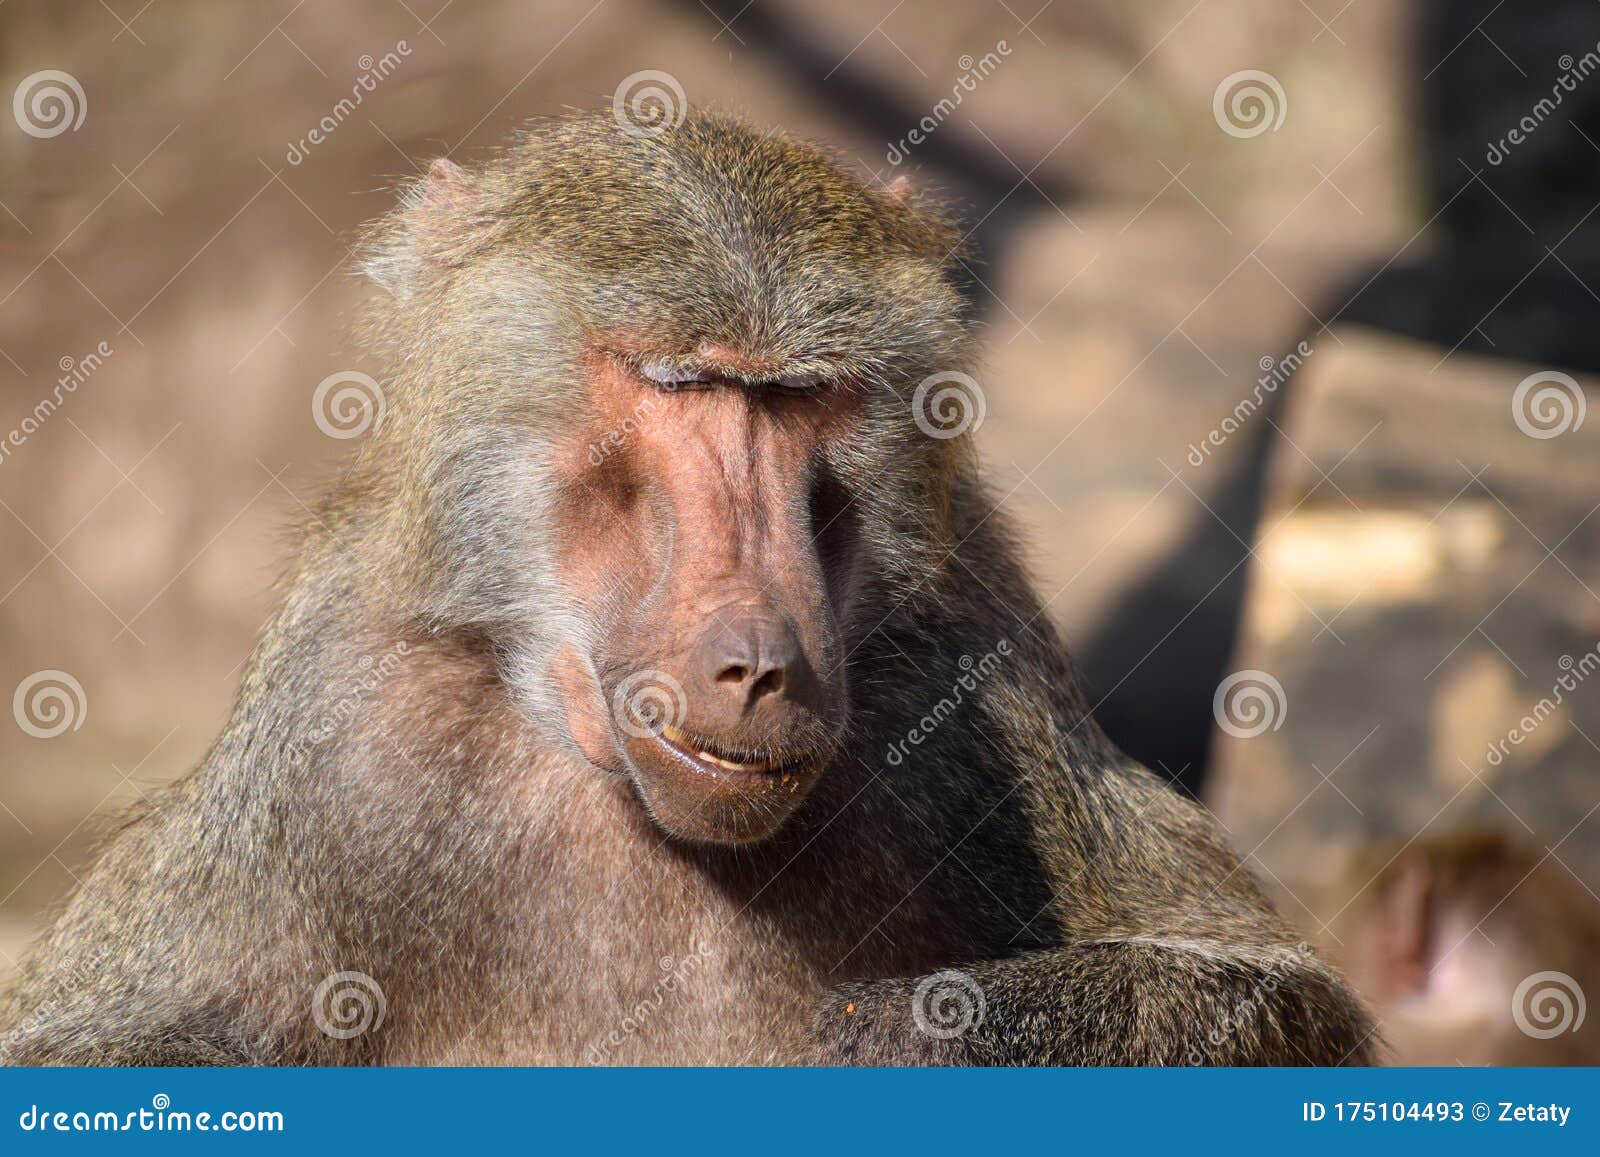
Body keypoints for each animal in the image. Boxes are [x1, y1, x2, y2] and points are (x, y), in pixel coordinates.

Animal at [0, 109, 1374, 1066]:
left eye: (798, 394)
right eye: (681, 383)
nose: (762, 664)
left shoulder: (978, 678)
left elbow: (1283, 999)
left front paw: (910, 1036)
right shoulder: (330, 726)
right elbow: (94, 1043)